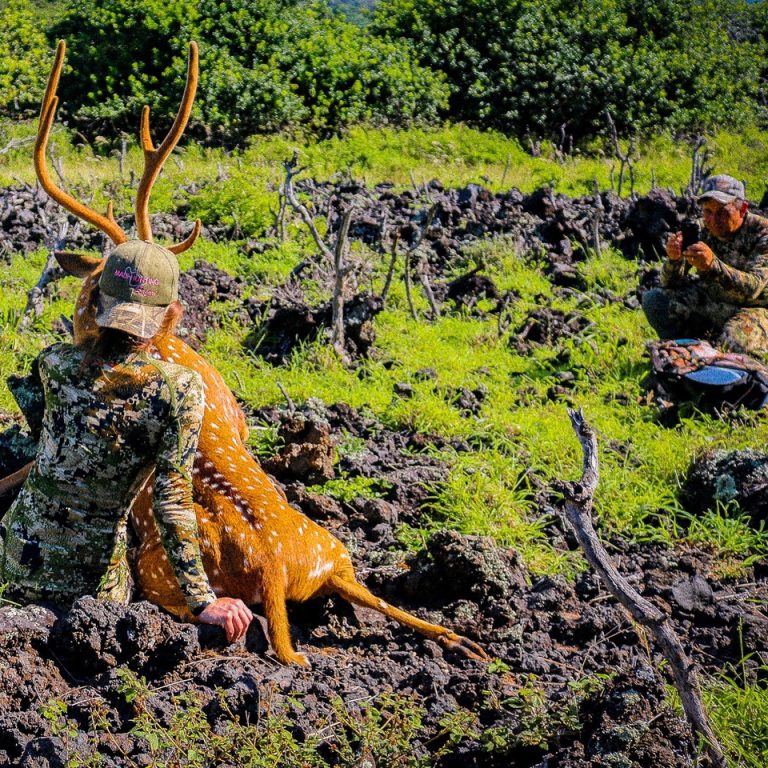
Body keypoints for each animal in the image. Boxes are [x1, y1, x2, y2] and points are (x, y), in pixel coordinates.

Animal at [2, 40, 488, 667]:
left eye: (88, 288)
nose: (84, 321)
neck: (161, 340)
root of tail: (278, 568)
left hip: (155, 573)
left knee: (229, 616)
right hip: (335, 553)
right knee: (369, 598)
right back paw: (465, 642)